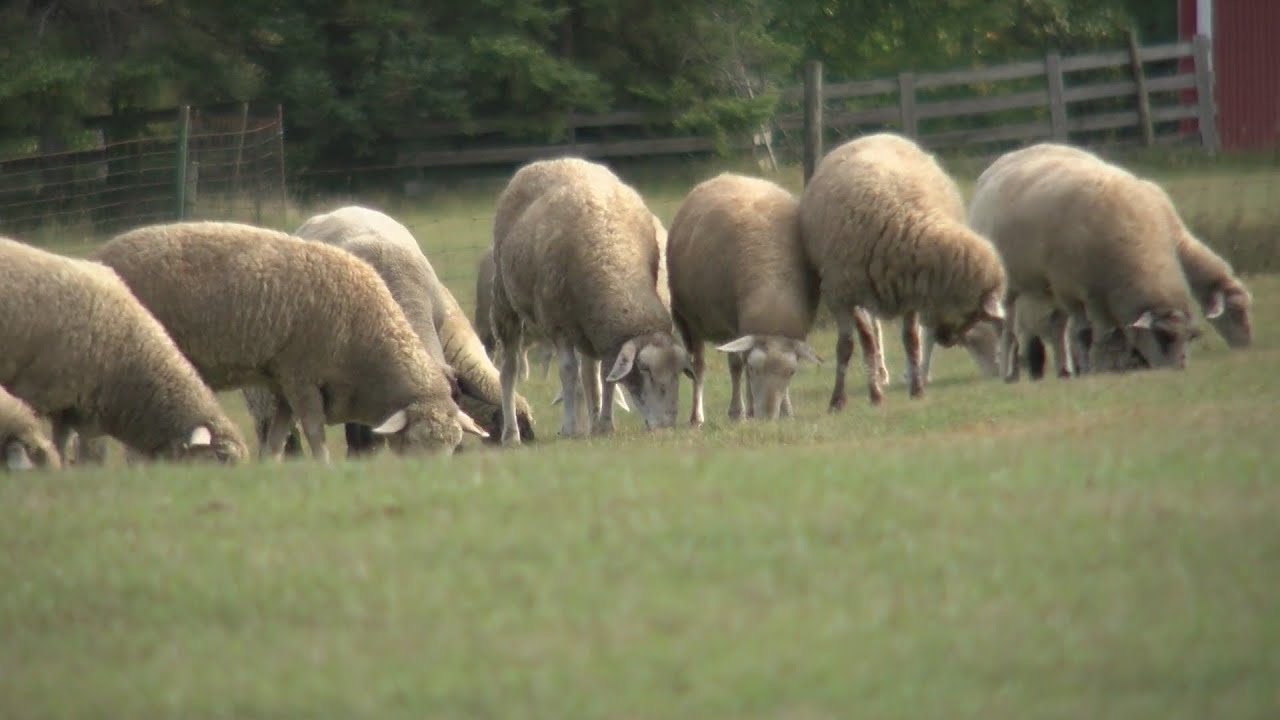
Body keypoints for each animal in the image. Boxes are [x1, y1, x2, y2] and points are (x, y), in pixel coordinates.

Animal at [94, 221, 487, 463]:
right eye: (415, 444)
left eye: (455, 446)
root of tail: (99, 256)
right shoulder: (301, 376)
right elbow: (314, 432)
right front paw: (325, 470)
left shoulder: (281, 382)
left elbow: (278, 436)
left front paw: (271, 468)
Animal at [490, 157, 690, 444]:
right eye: (644, 369)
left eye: (678, 372)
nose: (666, 426)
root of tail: (553, 161)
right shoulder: (559, 325)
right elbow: (567, 372)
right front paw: (570, 427)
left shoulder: (607, 333)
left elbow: (607, 376)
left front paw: (605, 424)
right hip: (505, 304)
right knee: (509, 370)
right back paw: (511, 433)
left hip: (588, 326)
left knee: (590, 373)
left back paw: (594, 420)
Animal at [666, 172, 822, 423]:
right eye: (753, 369)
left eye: (791, 373)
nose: (767, 416)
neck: (773, 286)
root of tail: (727, 175)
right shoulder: (731, 321)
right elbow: (736, 365)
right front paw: (738, 412)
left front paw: (786, 411)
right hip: (691, 321)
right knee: (699, 365)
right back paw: (697, 417)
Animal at [798, 133, 1007, 407]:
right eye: (973, 313)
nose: (946, 341)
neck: (905, 225)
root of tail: (874, 134)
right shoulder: (842, 294)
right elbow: (850, 345)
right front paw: (842, 399)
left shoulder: (909, 290)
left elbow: (911, 340)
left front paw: (916, 389)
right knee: (867, 339)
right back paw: (875, 385)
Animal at [969, 143, 1200, 377]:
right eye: (1164, 336)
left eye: (1190, 337)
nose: (1178, 368)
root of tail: (1000, 163)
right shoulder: (1075, 289)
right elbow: (1087, 332)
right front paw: (1095, 368)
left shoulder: (1094, 293)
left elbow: (1109, 333)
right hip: (1010, 285)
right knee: (1006, 328)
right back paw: (1009, 373)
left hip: (1047, 287)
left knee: (1055, 326)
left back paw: (1064, 370)